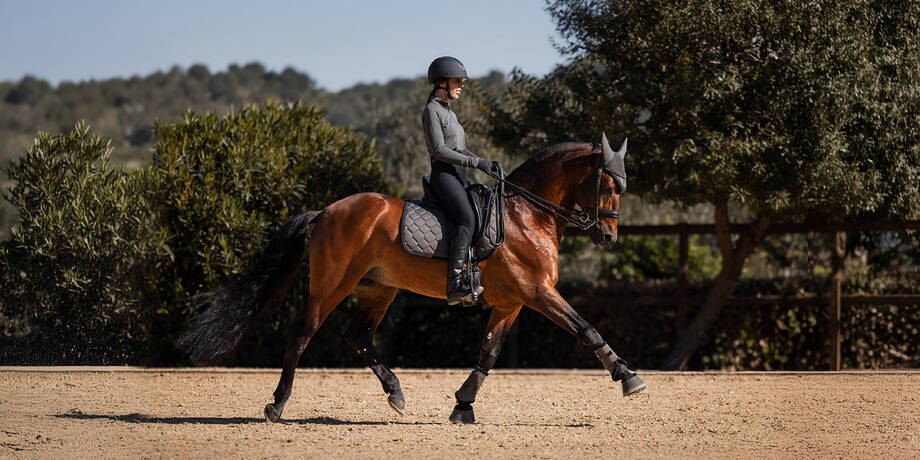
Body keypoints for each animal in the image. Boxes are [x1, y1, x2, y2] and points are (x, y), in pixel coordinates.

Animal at [177, 133, 647, 424]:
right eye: (609, 185)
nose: (608, 236)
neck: (526, 214)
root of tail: (327, 210)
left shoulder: (512, 302)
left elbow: (489, 353)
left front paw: (462, 406)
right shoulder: (538, 292)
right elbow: (586, 329)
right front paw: (629, 378)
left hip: (378, 290)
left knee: (358, 337)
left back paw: (396, 394)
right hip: (331, 285)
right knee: (302, 333)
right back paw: (277, 405)